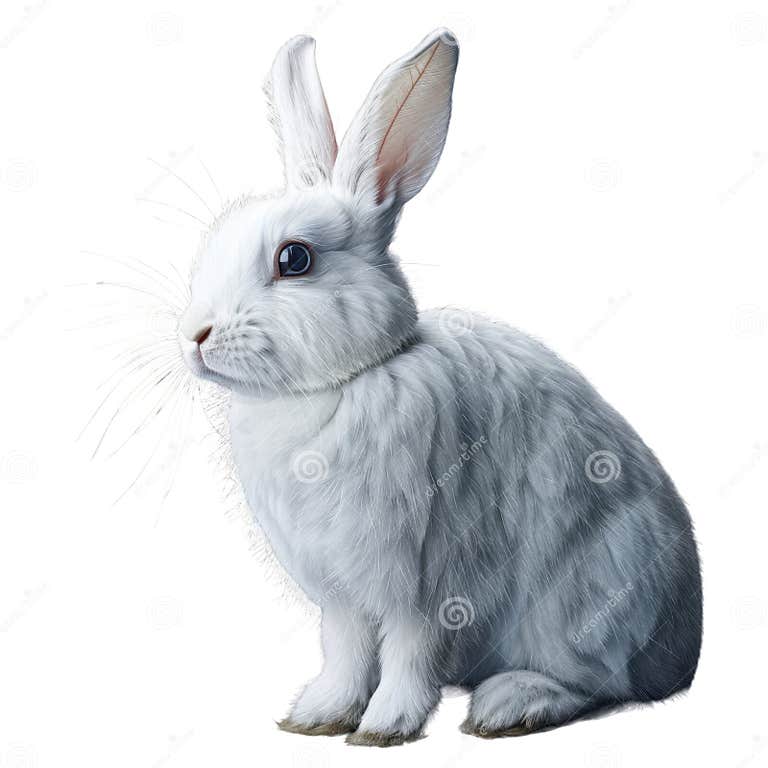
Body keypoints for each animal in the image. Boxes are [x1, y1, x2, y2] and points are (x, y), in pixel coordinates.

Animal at [177, 28, 702, 746]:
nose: (194, 335)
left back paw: (510, 704)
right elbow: (345, 651)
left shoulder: (426, 578)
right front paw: (316, 716)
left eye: (295, 258)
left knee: (598, 684)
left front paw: (384, 727)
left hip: (590, 596)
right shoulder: (340, 593)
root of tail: (683, 658)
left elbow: (408, 652)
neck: (348, 379)